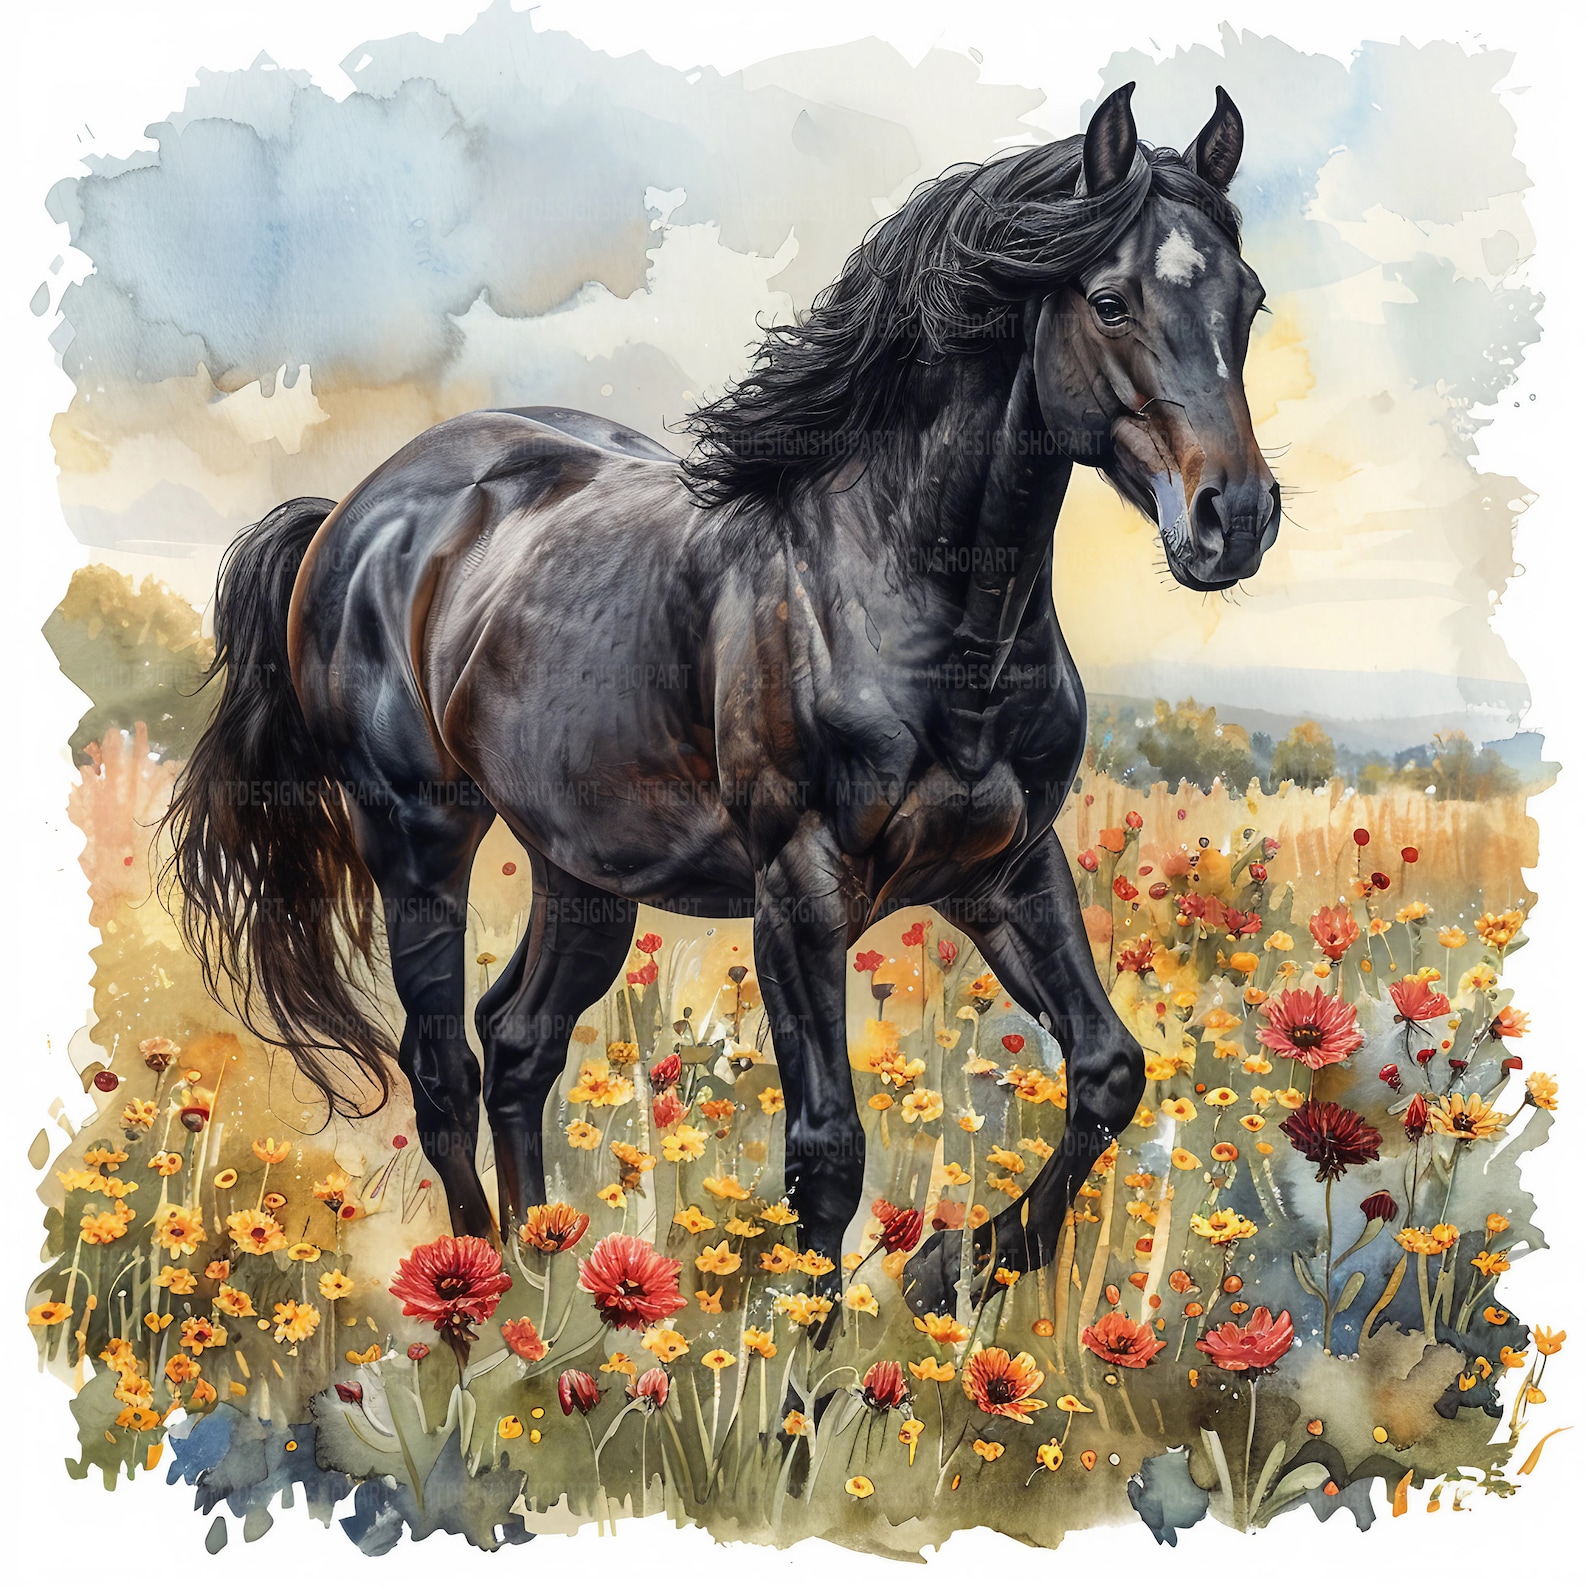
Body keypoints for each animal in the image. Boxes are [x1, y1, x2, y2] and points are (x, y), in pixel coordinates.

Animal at [166, 82, 1279, 1317]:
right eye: (1111, 301)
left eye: (1249, 301)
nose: (1234, 518)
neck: (916, 613)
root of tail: (356, 513)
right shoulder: (798, 893)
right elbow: (827, 1150)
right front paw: (811, 1355)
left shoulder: (1004, 871)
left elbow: (1106, 1072)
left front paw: (947, 1266)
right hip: (415, 837)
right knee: (443, 1063)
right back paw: (476, 1298)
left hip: (584, 874)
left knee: (518, 1043)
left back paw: (544, 1294)